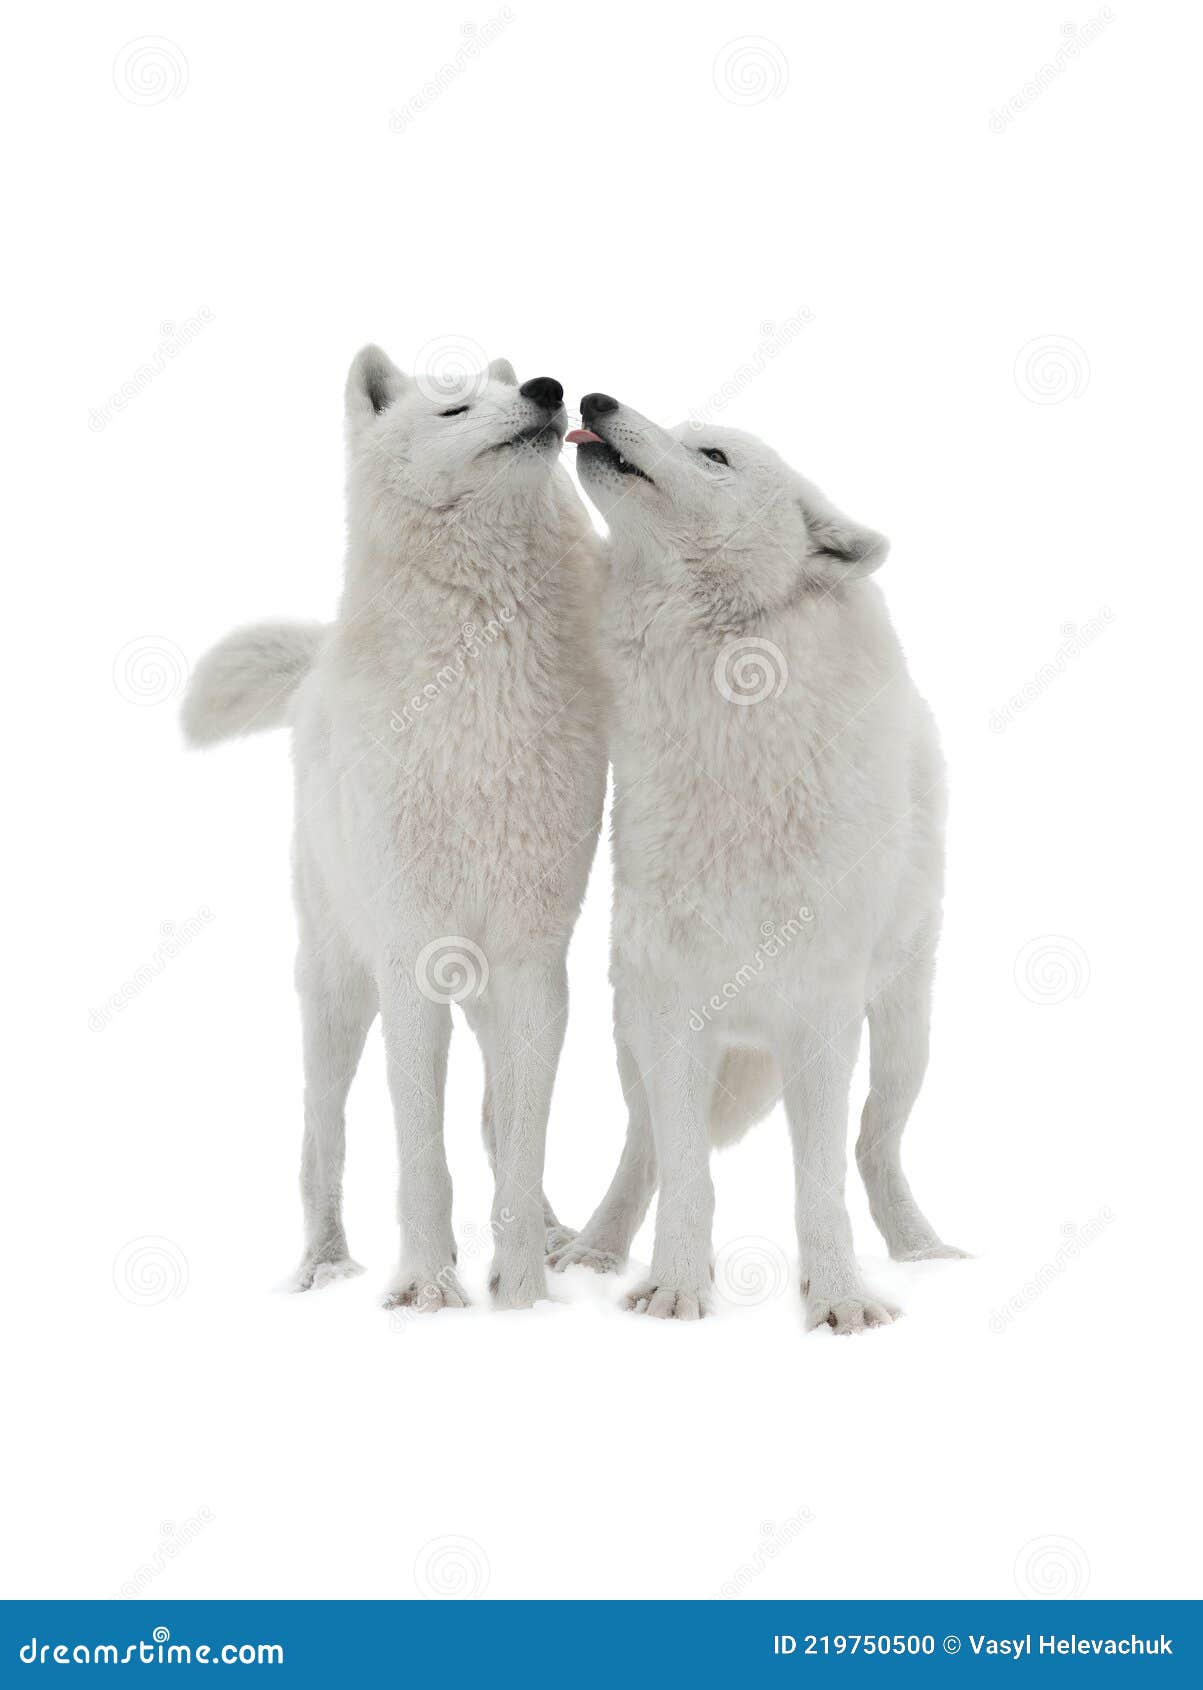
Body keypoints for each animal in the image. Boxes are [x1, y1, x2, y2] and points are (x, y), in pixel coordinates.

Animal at [181, 349, 606, 1310]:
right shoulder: (414, 963)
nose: (546, 390)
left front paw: (522, 1291)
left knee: (495, 1124)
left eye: (512, 388)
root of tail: (314, 675)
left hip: (481, 1001)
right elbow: (420, 1157)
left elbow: (520, 1142)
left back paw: (552, 1235)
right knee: (320, 1142)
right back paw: (324, 1264)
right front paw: (427, 1287)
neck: (477, 697)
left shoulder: (534, 966)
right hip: (336, 993)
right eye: (454, 408)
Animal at [550, 392, 964, 1331]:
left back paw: (923, 1253)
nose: (596, 400)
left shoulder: (820, 1017)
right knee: (643, 1152)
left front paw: (839, 1300)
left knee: (874, 1147)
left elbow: (819, 1185)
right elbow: (685, 1178)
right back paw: (596, 1251)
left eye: (712, 455)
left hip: (903, 1034)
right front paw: (674, 1288)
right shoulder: (672, 1012)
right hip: (630, 1033)